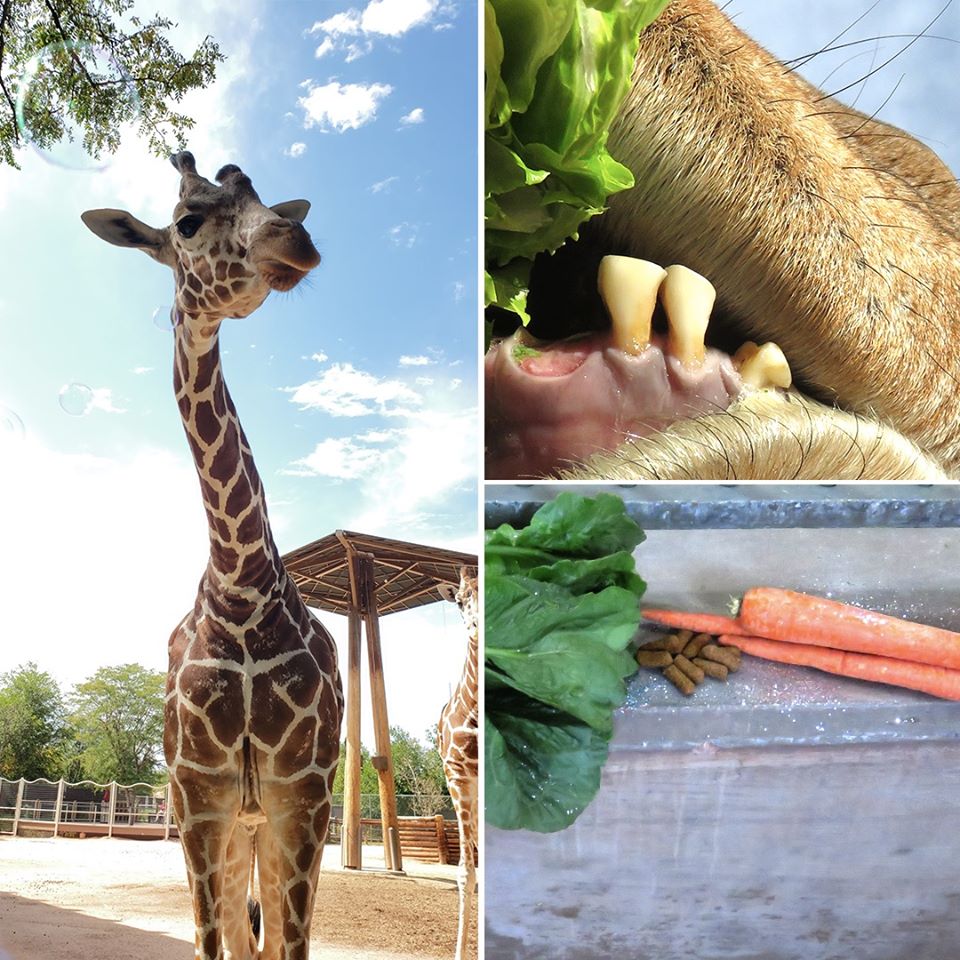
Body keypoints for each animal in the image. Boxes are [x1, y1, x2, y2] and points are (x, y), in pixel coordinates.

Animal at [81, 151, 344, 960]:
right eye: (188, 221)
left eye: (266, 198)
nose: (296, 241)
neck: (241, 580)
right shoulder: (197, 798)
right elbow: (211, 941)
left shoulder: (303, 795)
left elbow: (288, 944)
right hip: (232, 826)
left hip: (268, 823)